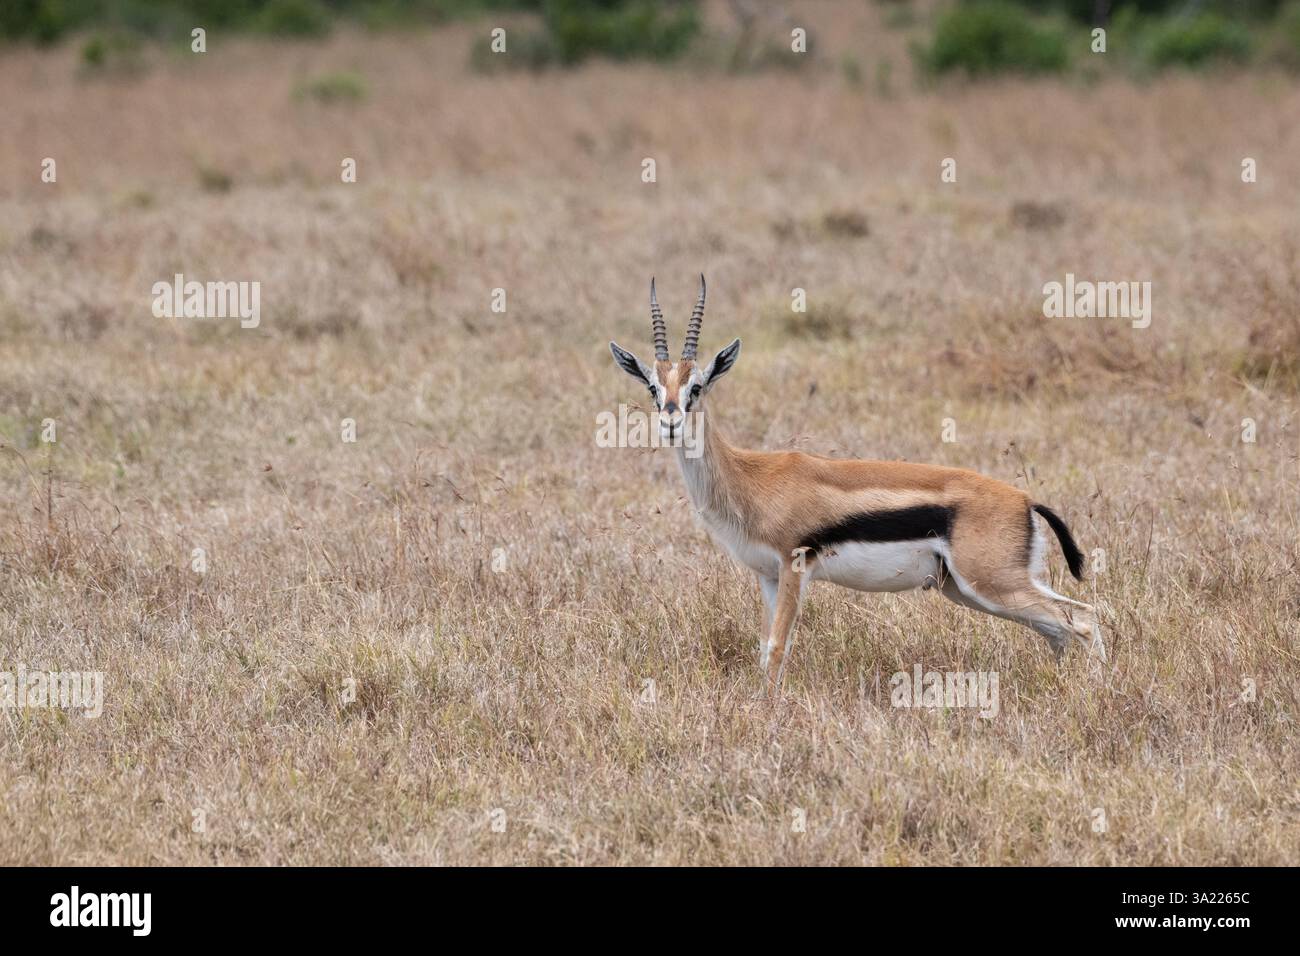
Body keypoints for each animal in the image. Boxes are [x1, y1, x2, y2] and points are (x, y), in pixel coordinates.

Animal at [609, 276, 1107, 693]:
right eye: (654, 388)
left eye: (697, 386)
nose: (671, 422)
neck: (749, 477)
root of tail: (1025, 499)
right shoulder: (768, 575)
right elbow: (765, 648)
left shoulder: (794, 565)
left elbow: (777, 647)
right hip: (968, 589)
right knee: (1059, 627)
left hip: (990, 583)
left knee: (1082, 617)